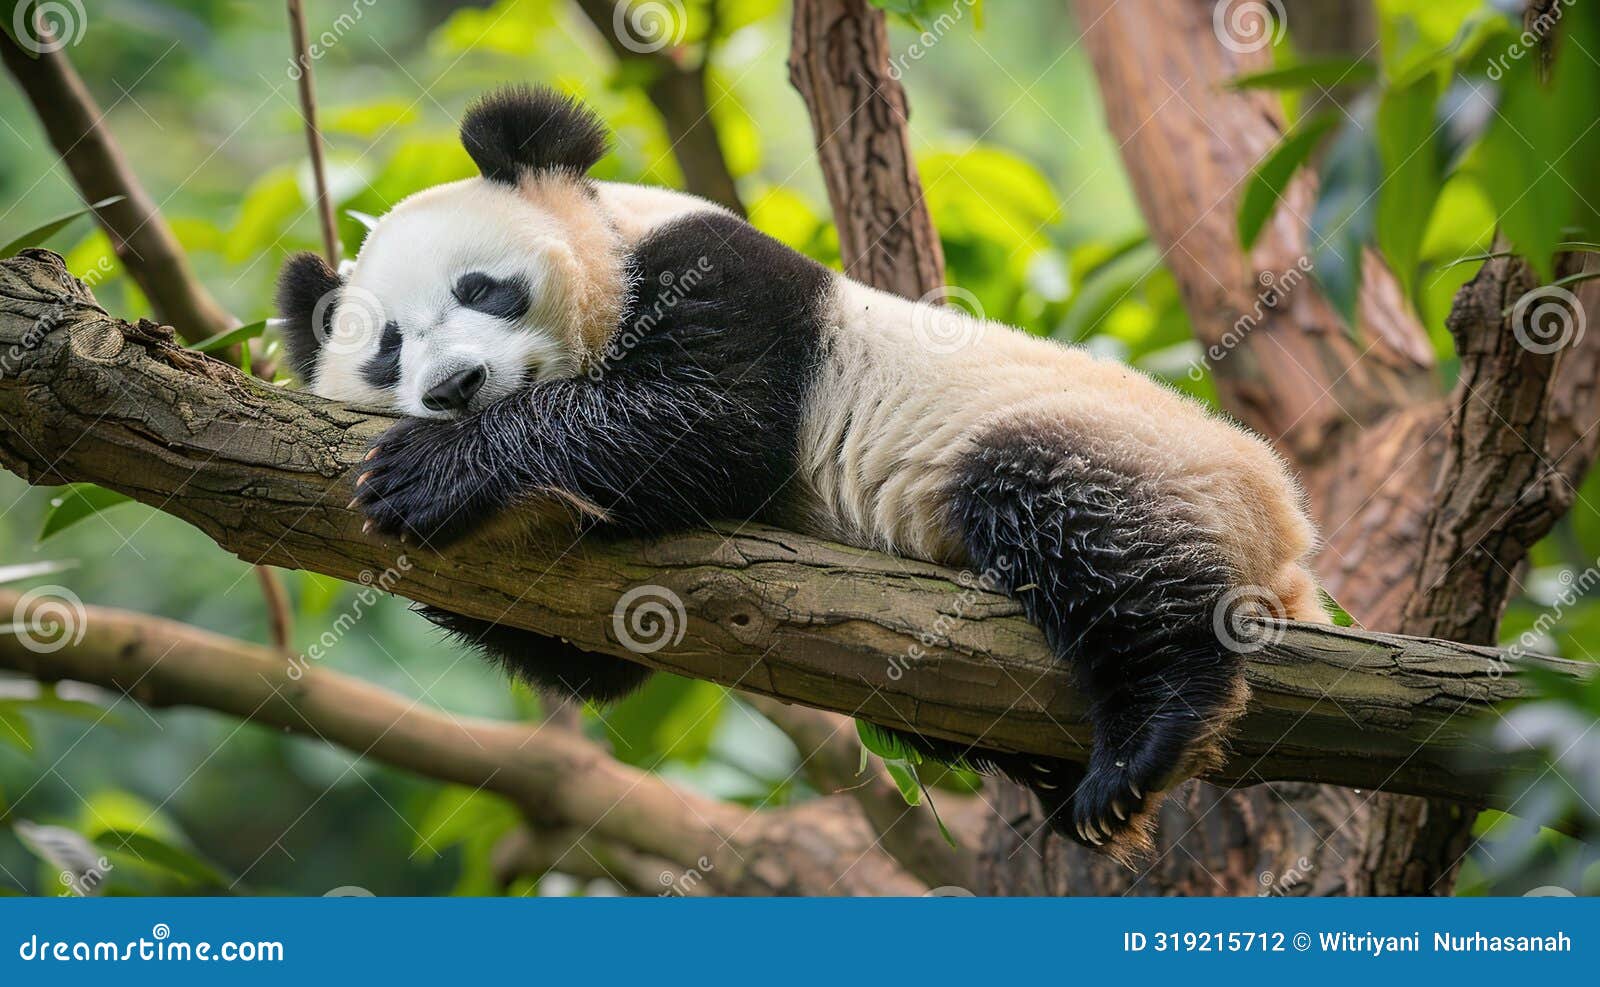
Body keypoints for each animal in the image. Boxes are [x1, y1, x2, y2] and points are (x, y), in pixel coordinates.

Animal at [275, 85, 1326, 863]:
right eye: (387, 350)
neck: (619, 240)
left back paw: (1142, 743)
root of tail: (1287, 533)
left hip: (1120, 448)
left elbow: (707, 425)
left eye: (481, 288)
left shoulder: (721, 275)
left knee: (1084, 531)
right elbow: (591, 657)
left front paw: (432, 473)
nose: (455, 387)